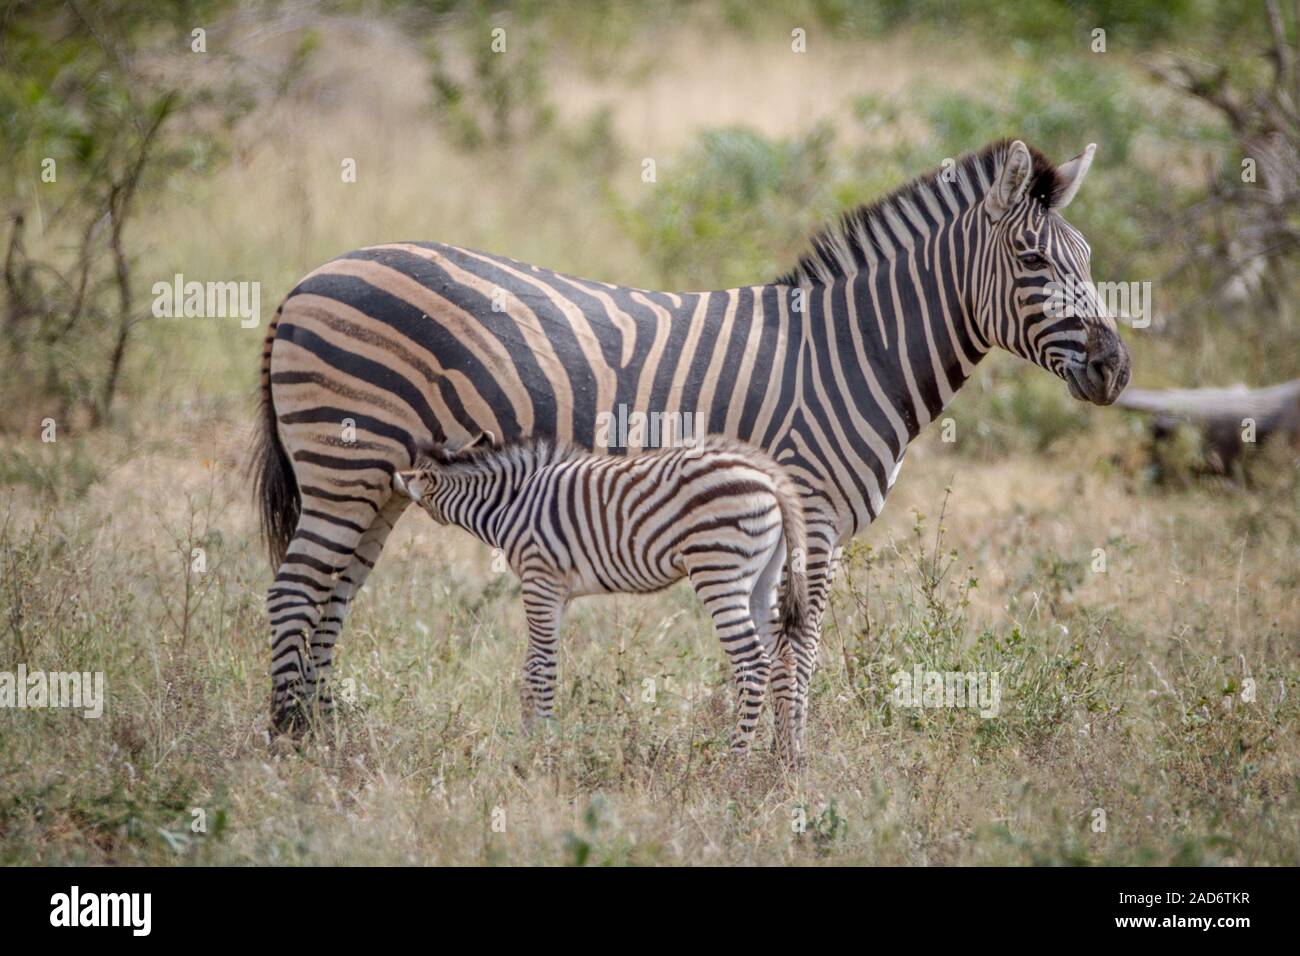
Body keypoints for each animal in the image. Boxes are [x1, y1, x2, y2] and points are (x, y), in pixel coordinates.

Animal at [390, 432, 811, 758]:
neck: (511, 501)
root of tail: (769, 476)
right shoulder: (557, 592)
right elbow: (531, 668)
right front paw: (529, 744)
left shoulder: (539, 580)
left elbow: (541, 668)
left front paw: (539, 754)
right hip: (763, 580)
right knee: (784, 658)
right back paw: (787, 762)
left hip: (719, 569)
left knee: (753, 663)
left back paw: (735, 763)